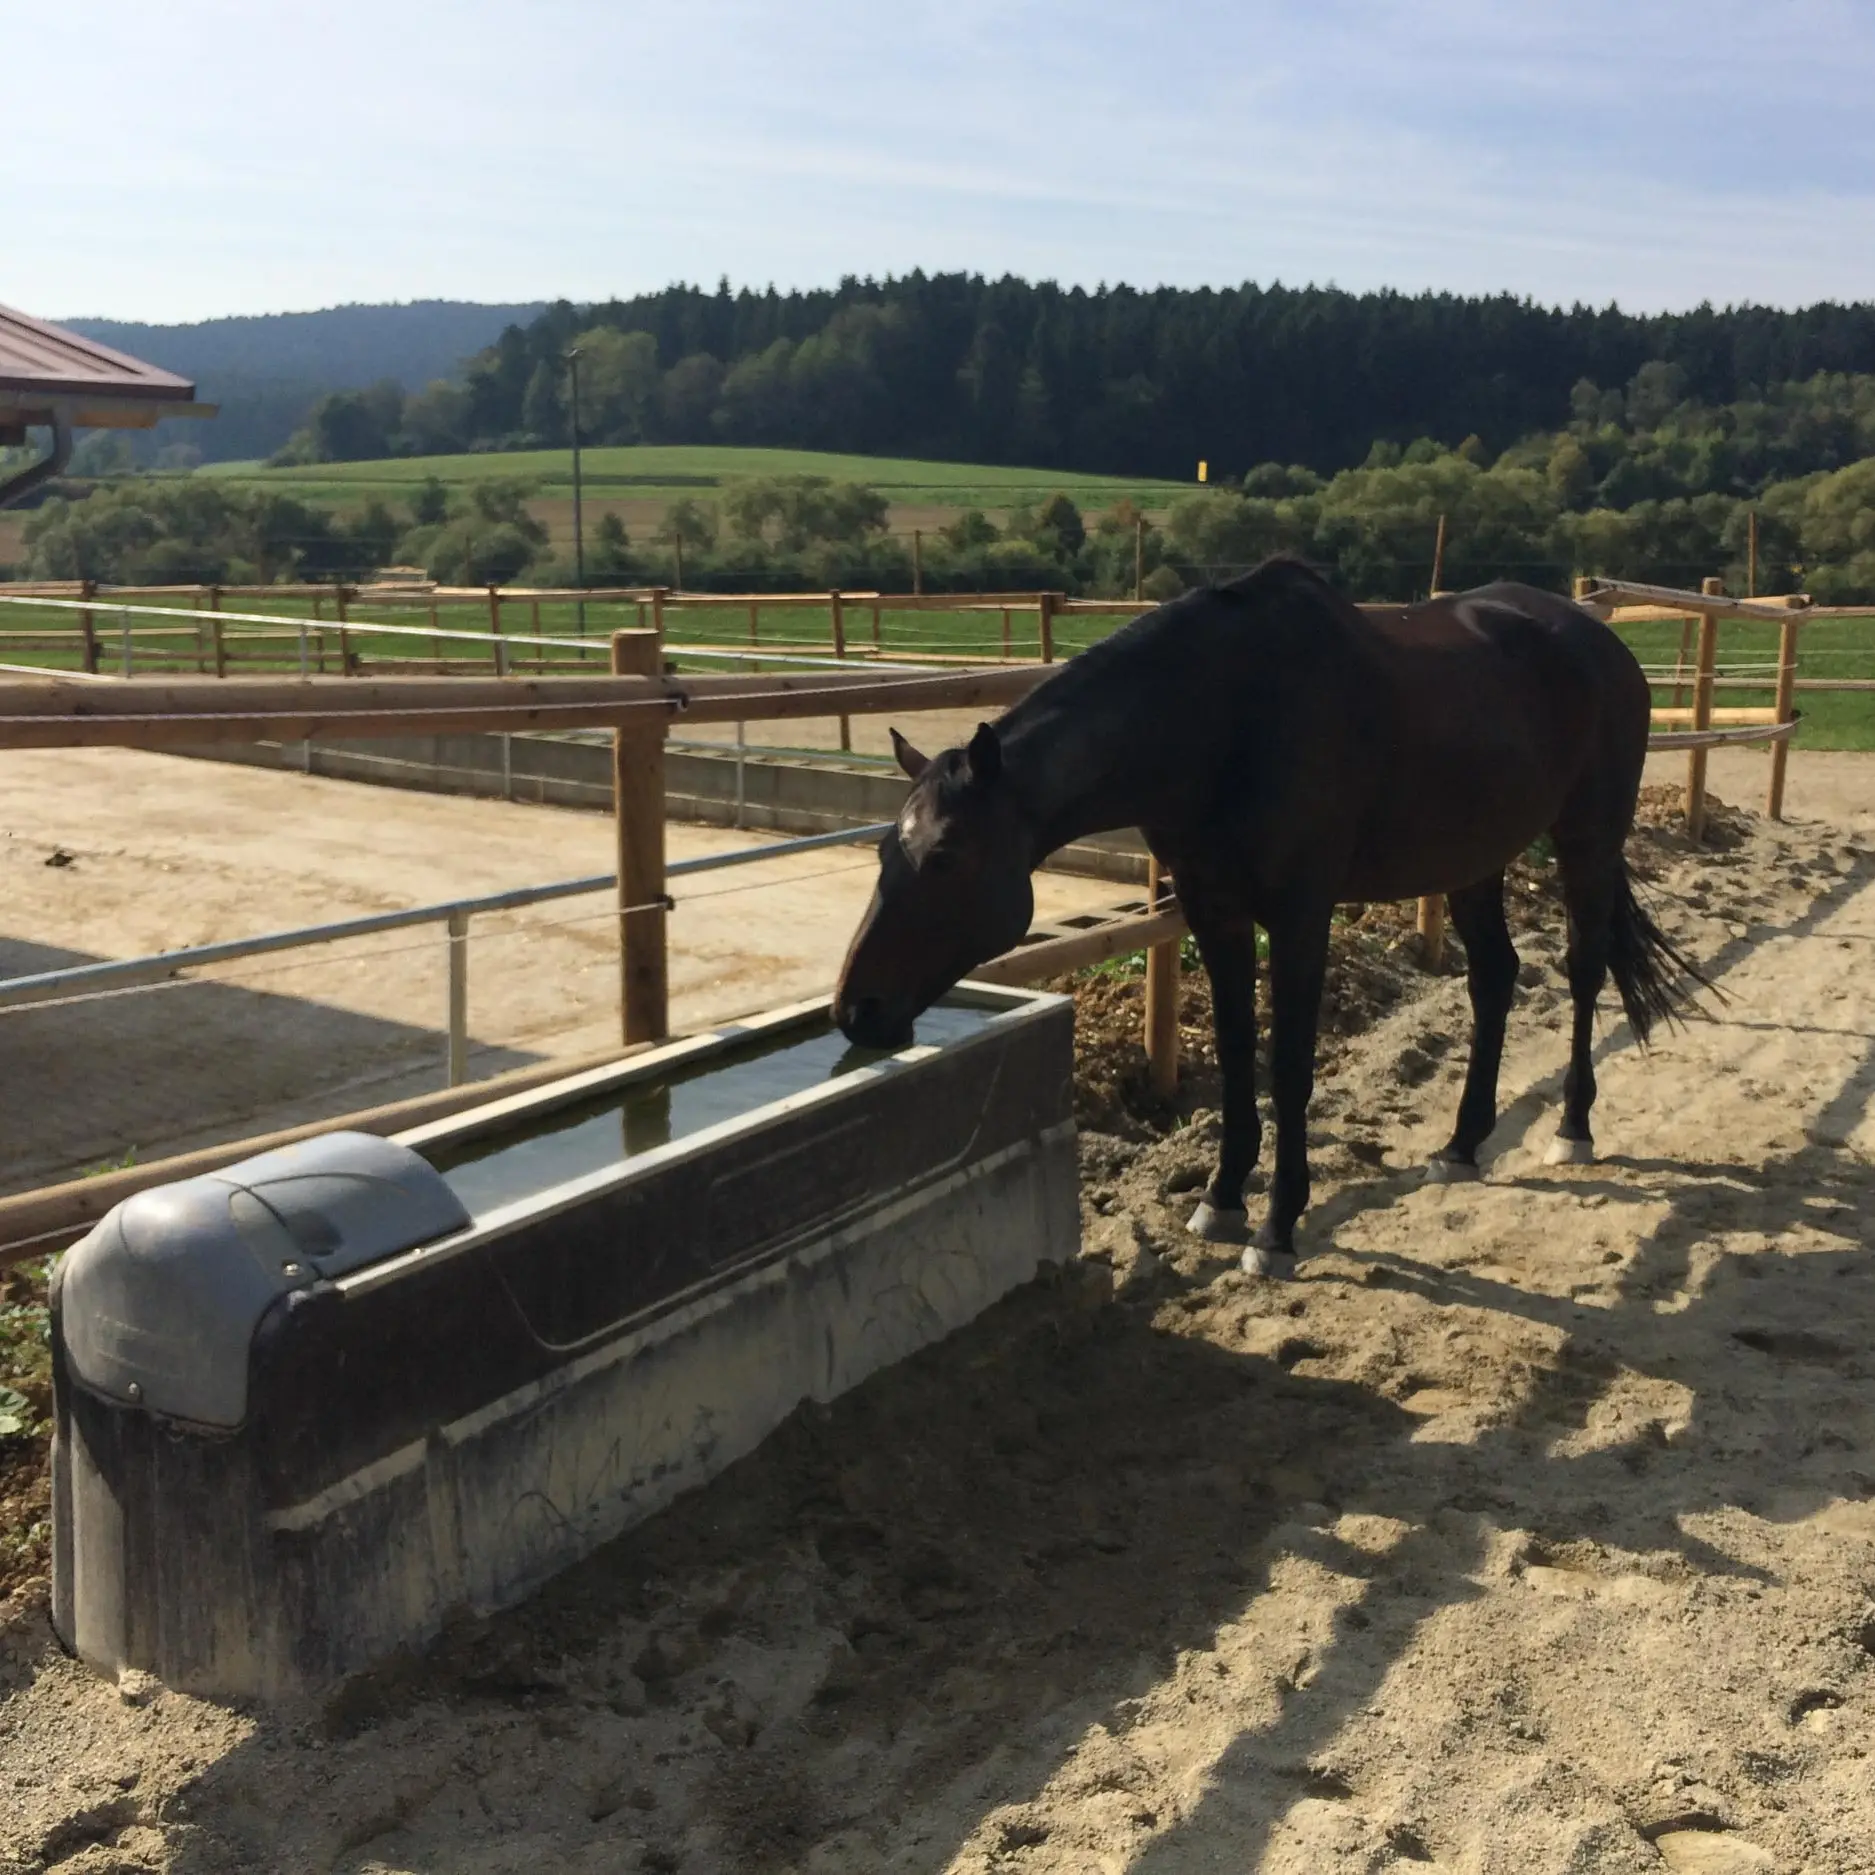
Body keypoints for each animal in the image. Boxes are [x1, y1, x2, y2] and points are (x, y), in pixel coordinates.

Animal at [833, 557, 1706, 1278]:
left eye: (945, 857)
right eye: (882, 850)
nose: (856, 1009)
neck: (1224, 720)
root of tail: (1601, 643)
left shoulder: (1297, 915)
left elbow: (1288, 1063)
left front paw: (1276, 1226)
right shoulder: (1212, 910)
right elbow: (1232, 1051)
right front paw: (1220, 1198)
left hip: (1587, 837)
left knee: (1583, 969)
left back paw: (1572, 1126)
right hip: (1474, 861)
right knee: (1494, 977)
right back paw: (1461, 1142)